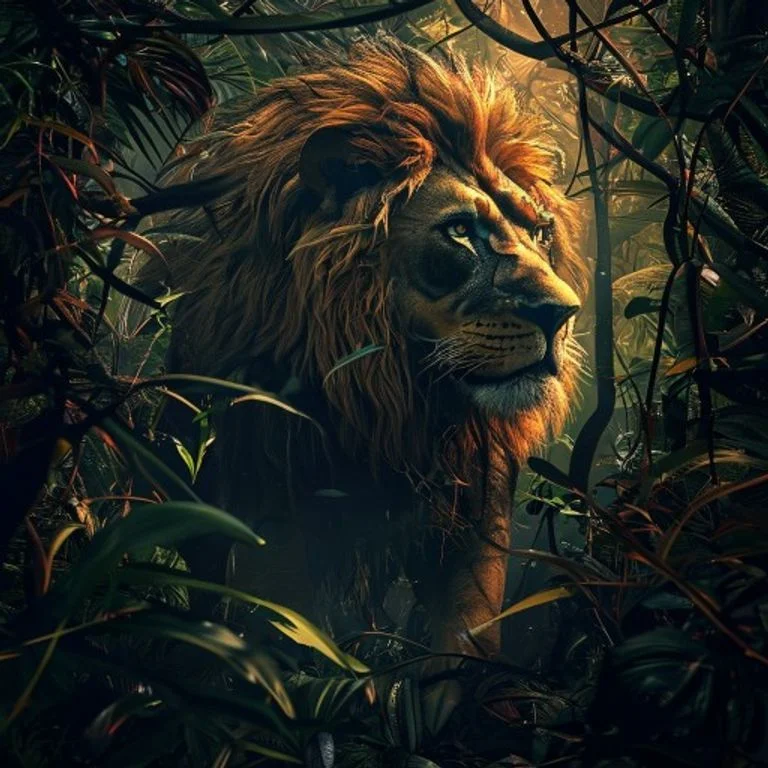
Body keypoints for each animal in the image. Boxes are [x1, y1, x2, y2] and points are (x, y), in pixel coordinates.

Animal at [150, 37, 588, 658]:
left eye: (541, 233)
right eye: (460, 232)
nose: (562, 314)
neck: (393, 399)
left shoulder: (476, 516)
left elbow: (464, 646)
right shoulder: (271, 511)